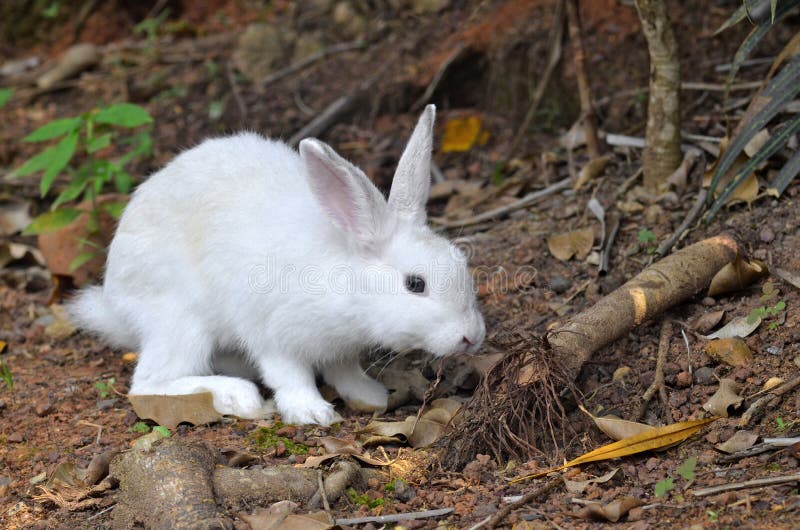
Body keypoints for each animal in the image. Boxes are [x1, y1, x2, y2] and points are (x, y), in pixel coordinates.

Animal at [68, 104, 486, 426]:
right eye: (415, 284)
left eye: (461, 262)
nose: (471, 337)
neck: (345, 274)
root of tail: (115, 299)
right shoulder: (273, 334)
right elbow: (290, 376)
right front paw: (313, 413)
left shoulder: (341, 348)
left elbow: (346, 371)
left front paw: (371, 396)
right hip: (181, 320)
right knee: (150, 383)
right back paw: (238, 396)